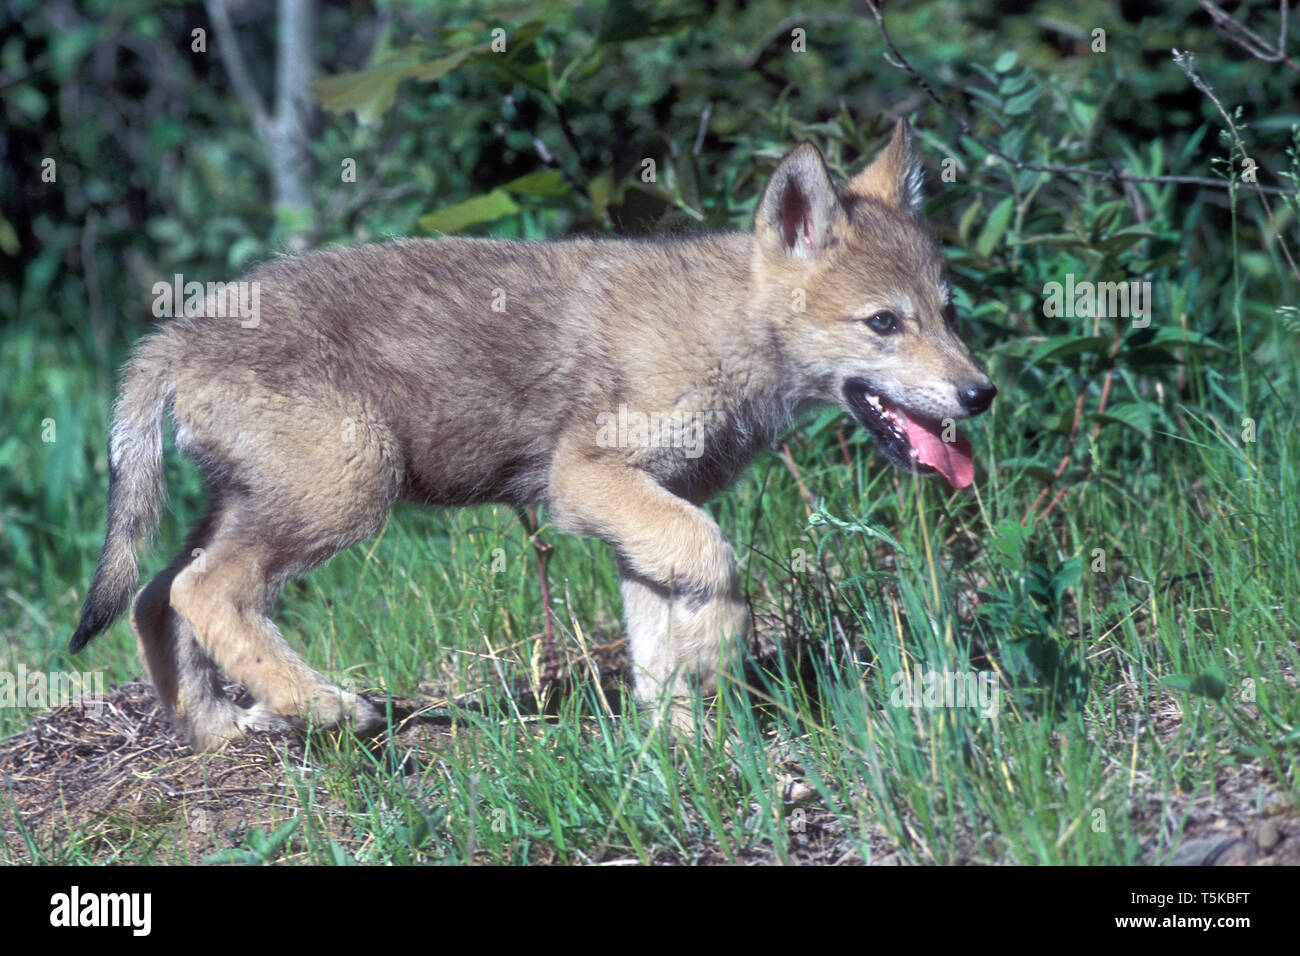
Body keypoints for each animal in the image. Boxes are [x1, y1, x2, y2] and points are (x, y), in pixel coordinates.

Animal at [70, 119, 995, 751]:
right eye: (884, 323)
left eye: (949, 314)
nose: (980, 394)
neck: (725, 328)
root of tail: (173, 334)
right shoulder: (585, 482)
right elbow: (715, 562)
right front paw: (721, 655)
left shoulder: (640, 518)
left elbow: (658, 646)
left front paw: (685, 747)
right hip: (347, 490)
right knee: (203, 592)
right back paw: (325, 705)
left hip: (260, 504)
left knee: (156, 597)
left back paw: (218, 730)